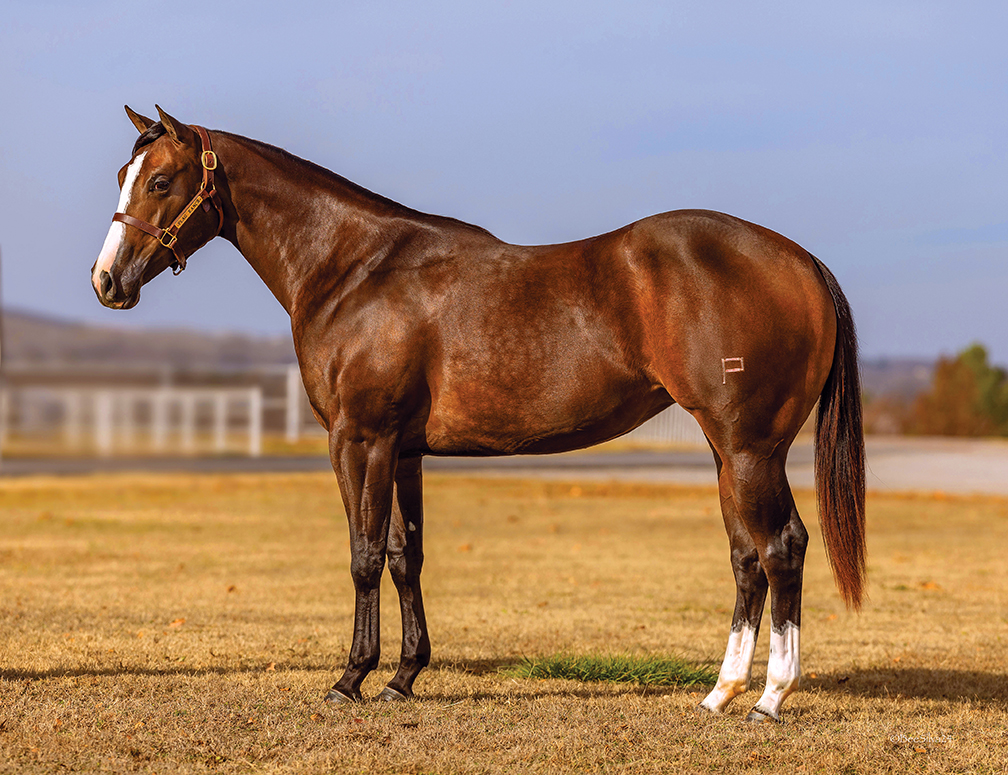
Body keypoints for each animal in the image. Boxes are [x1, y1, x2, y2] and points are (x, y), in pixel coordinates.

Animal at [91, 105, 865, 723]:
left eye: (160, 181)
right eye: (124, 175)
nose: (106, 281)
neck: (355, 269)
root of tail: (800, 260)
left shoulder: (359, 439)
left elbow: (364, 555)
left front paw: (351, 677)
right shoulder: (402, 449)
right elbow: (405, 555)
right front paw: (404, 676)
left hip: (750, 448)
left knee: (782, 547)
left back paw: (770, 697)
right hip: (727, 452)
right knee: (747, 557)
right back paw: (721, 691)